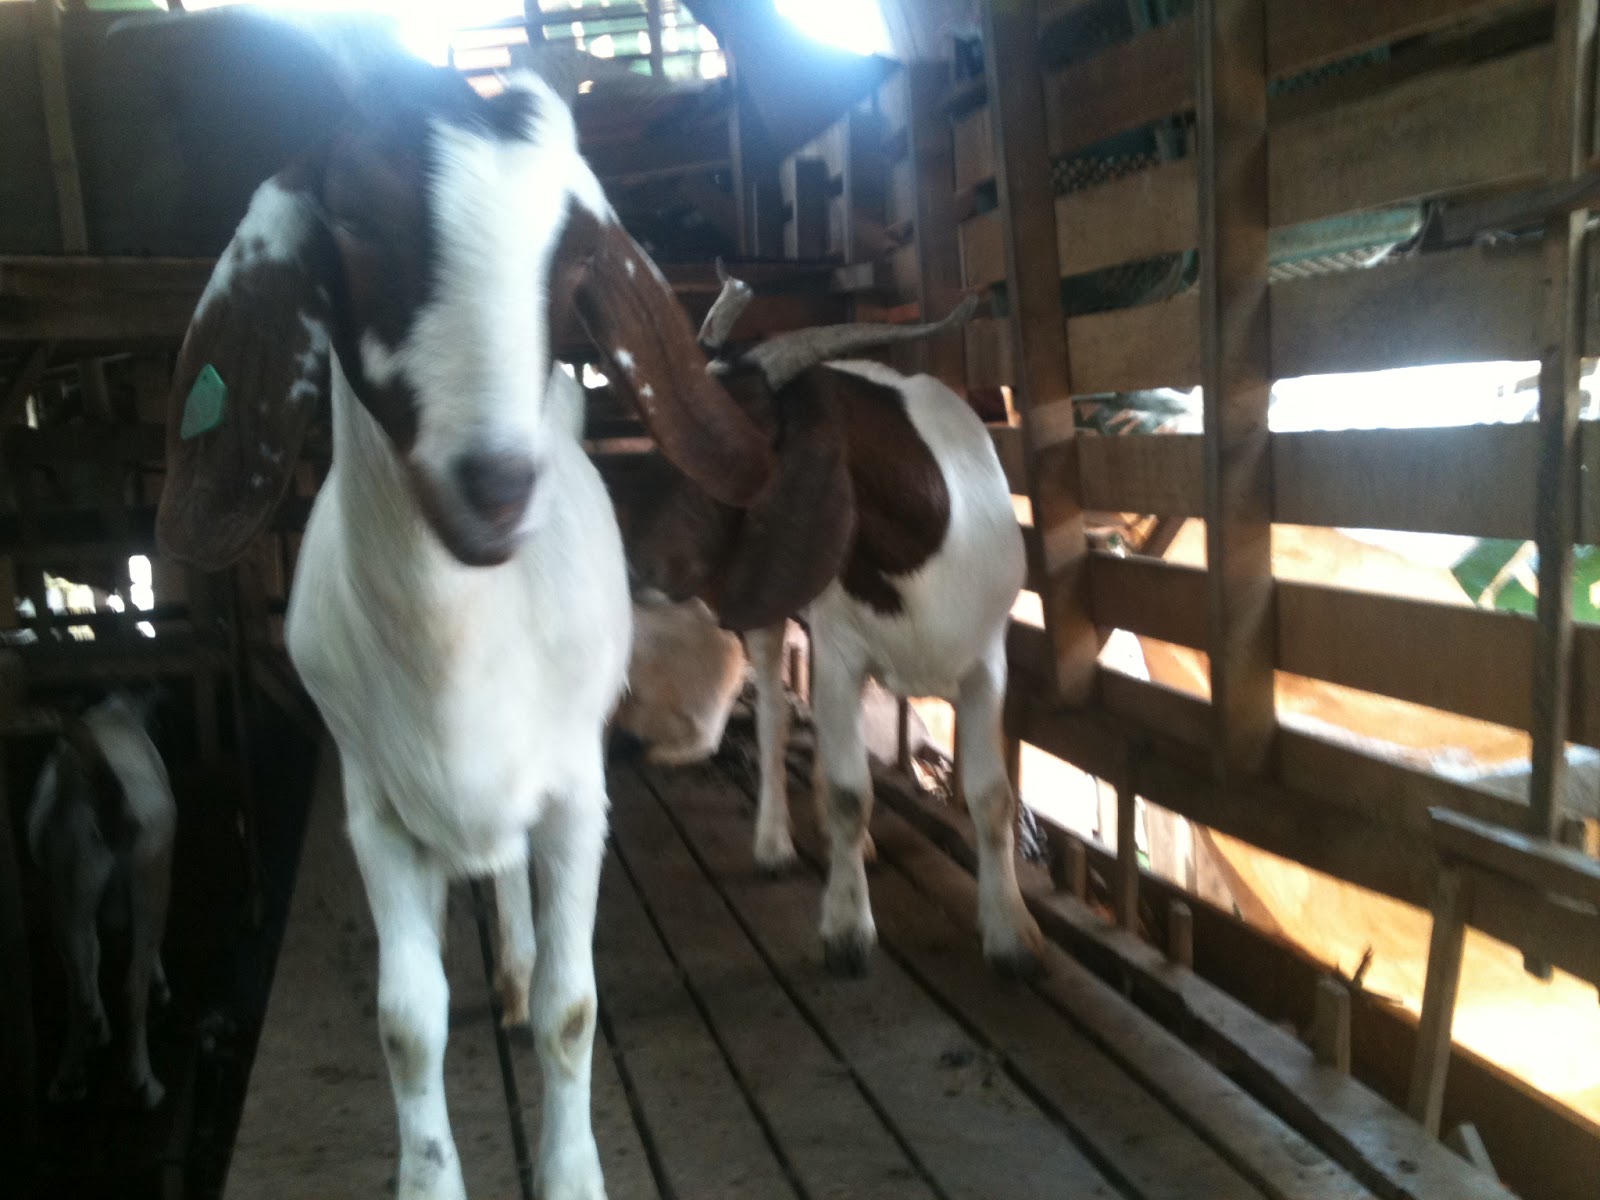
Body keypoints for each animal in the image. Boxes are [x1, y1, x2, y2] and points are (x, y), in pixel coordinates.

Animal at [27, 692, 174, 1109]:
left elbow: (89, 967)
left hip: (69, 896)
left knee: (80, 990)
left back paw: (69, 1075)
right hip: (151, 880)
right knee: (132, 989)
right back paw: (145, 1084)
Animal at [143, 13, 778, 1199]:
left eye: (574, 249)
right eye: (350, 214)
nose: (496, 486)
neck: (453, 640)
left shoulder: (575, 792)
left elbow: (573, 1010)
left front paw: (573, 1171)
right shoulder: (374, 811)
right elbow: (408, 1024)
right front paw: (429, 1173)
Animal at [626, 270, 1045, 977]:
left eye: (735, 444)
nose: (638, 566)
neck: (916, 548)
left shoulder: (987, 658)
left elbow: (992, 798)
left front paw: (1011, 932)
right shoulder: (840, 646)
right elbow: (853, 793)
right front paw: (847, 928)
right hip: (775, 622)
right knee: (773, 719)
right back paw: (775, 843)